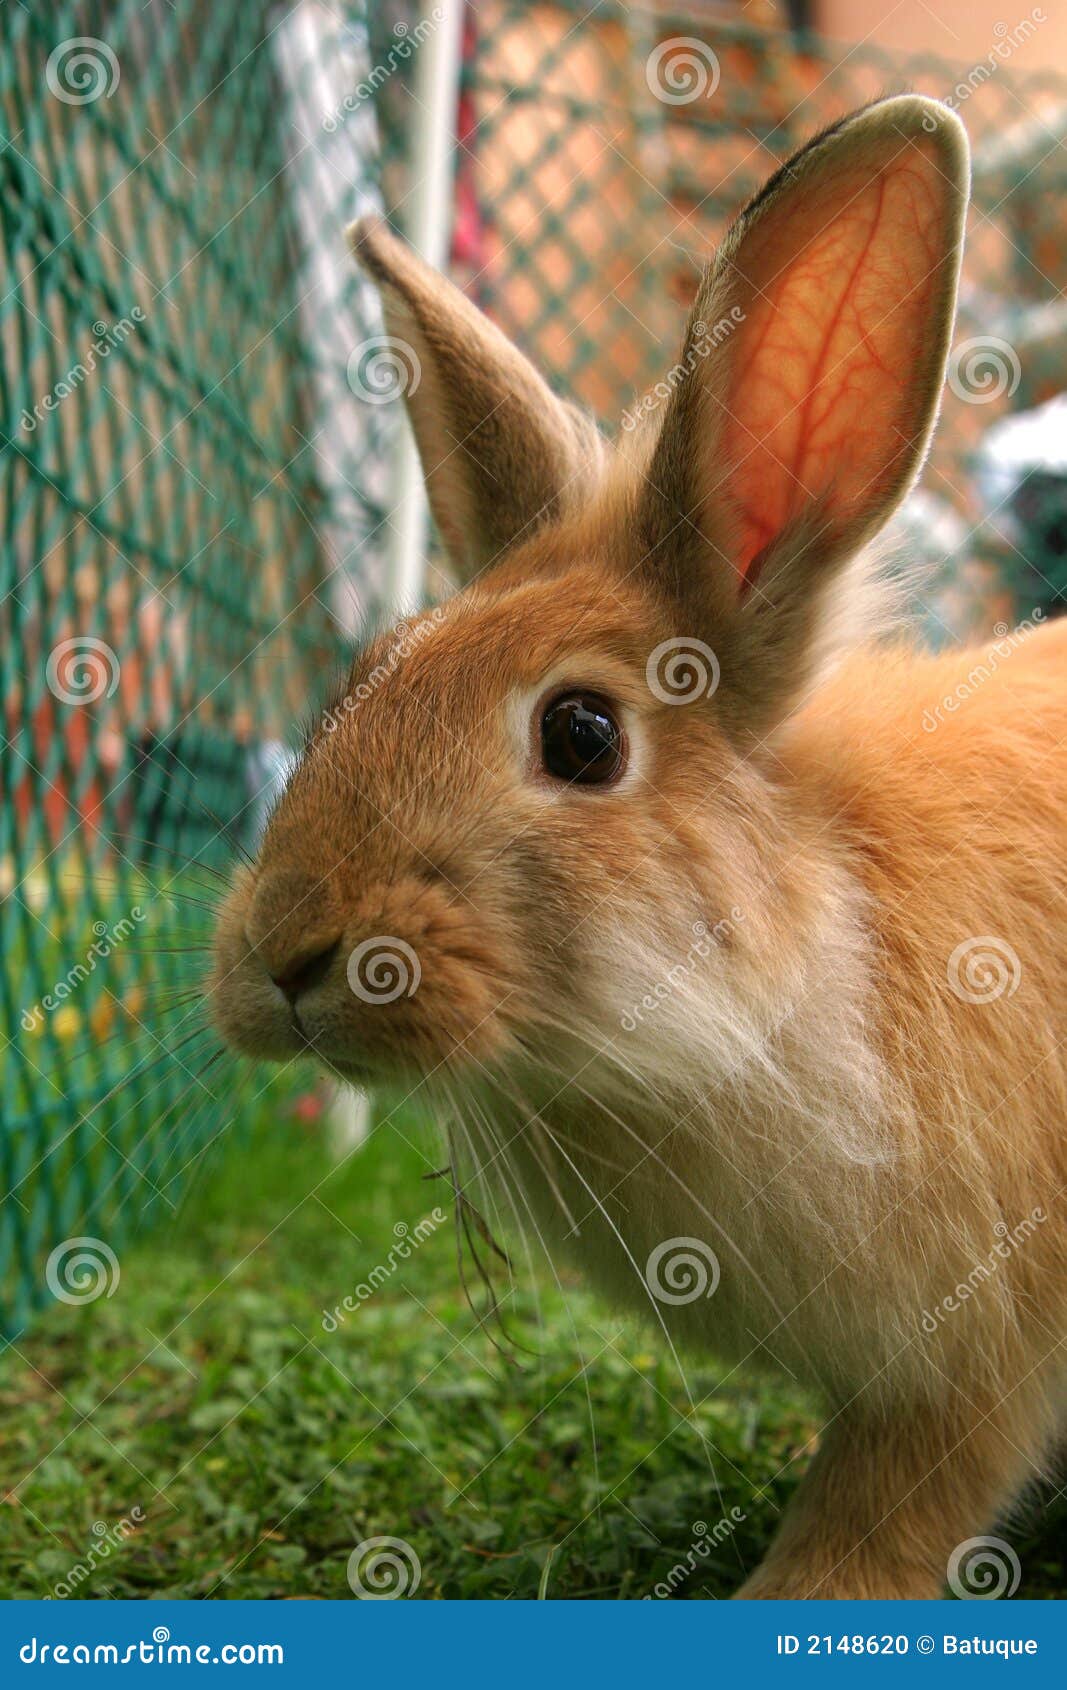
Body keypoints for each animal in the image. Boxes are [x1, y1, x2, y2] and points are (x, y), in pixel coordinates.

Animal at [210, 94, 1067, 1599]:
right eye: (366, 672)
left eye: (580, 734)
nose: (288, 948)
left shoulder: (972, 1360)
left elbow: (880, 1517)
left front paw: (791, 1593)